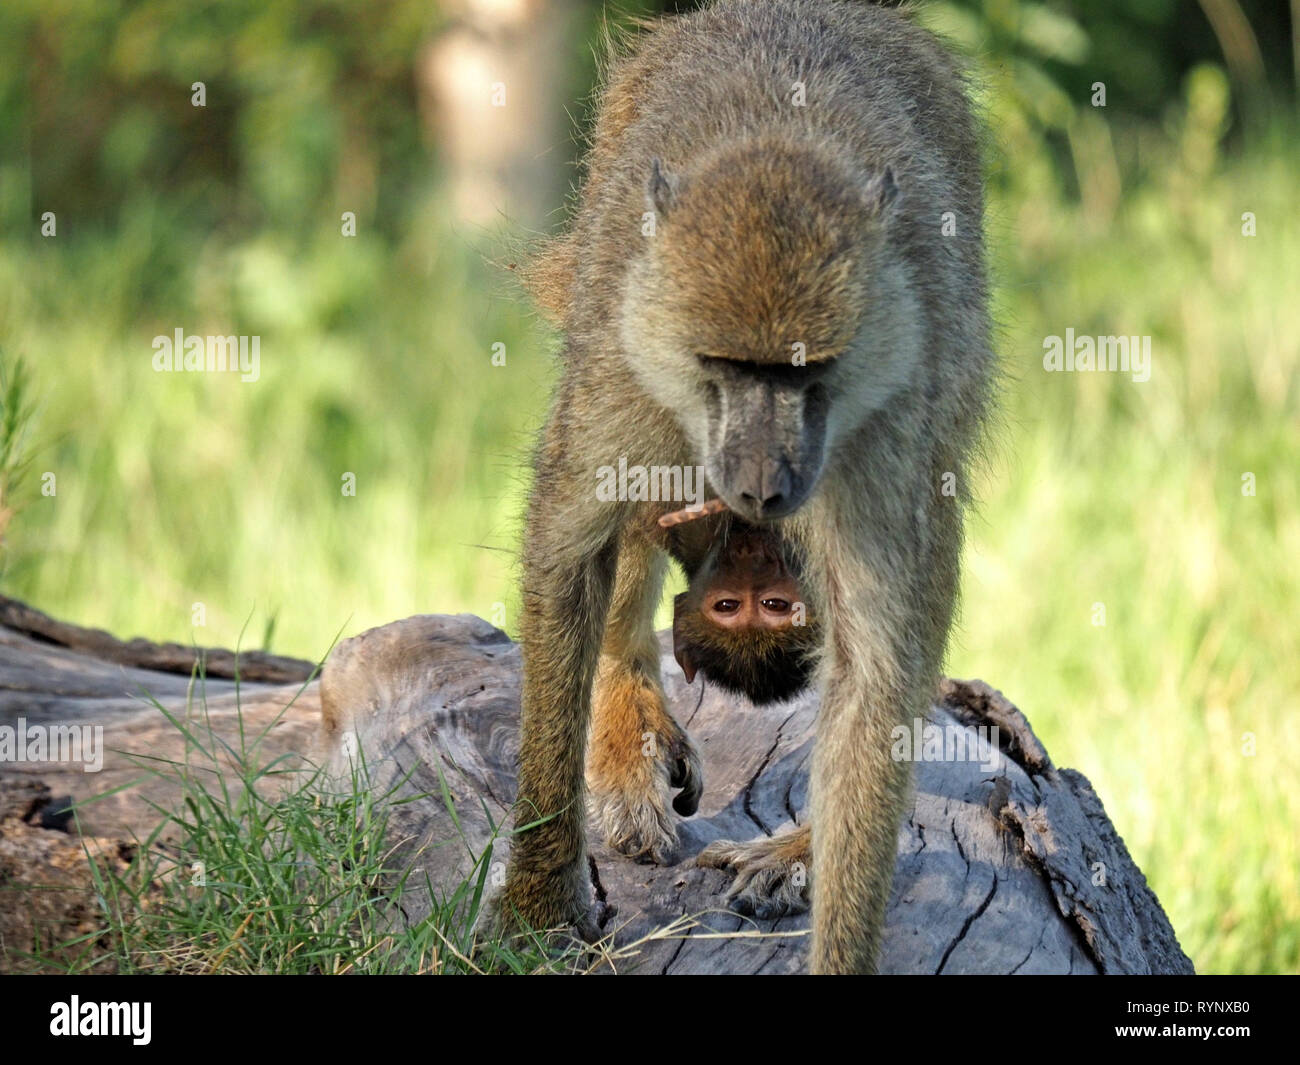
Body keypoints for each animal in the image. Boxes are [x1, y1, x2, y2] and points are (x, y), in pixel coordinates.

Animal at [497, 0, 992, 974]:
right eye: (728, 365)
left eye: (807, 373)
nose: (763, 485)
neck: (778, 140)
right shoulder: (626, 358)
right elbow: (573, 552)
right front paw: (537, 902)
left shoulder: (885, 419)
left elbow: (874, 668)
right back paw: (626, 721)